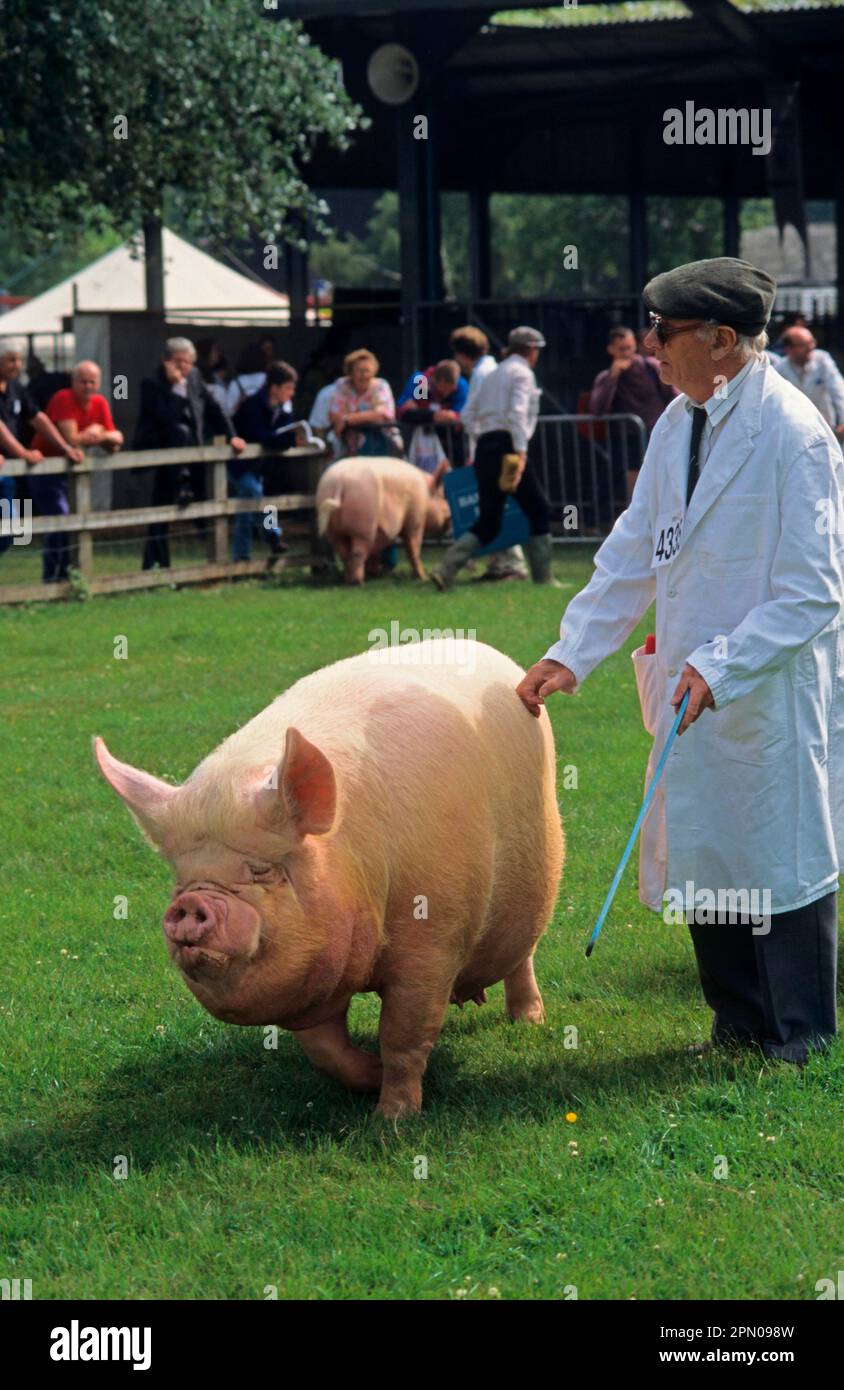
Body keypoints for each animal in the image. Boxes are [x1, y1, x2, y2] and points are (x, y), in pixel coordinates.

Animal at [94, 638, 563, 1119]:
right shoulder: (311, 980)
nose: (191, 903)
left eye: (262, 869)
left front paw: (390, 1120)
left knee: (523, 956)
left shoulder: (434, 941)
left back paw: (529, 1021)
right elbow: (326, 1052)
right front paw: (371, 1075)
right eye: (180, 880)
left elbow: (404, 1033)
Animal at [316, 455, 452, 584]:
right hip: (363, 524)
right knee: (357, 553)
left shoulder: (379, 532)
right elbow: (413, 547)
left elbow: (376, 552)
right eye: (444, 496)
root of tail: (340, 482)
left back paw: (350, 579)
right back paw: (358, 582)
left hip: (333, 530)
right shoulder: (415, 518)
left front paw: (375, 573)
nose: (451, 517)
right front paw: (422, 578)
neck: (426, 494)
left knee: (343, 552)